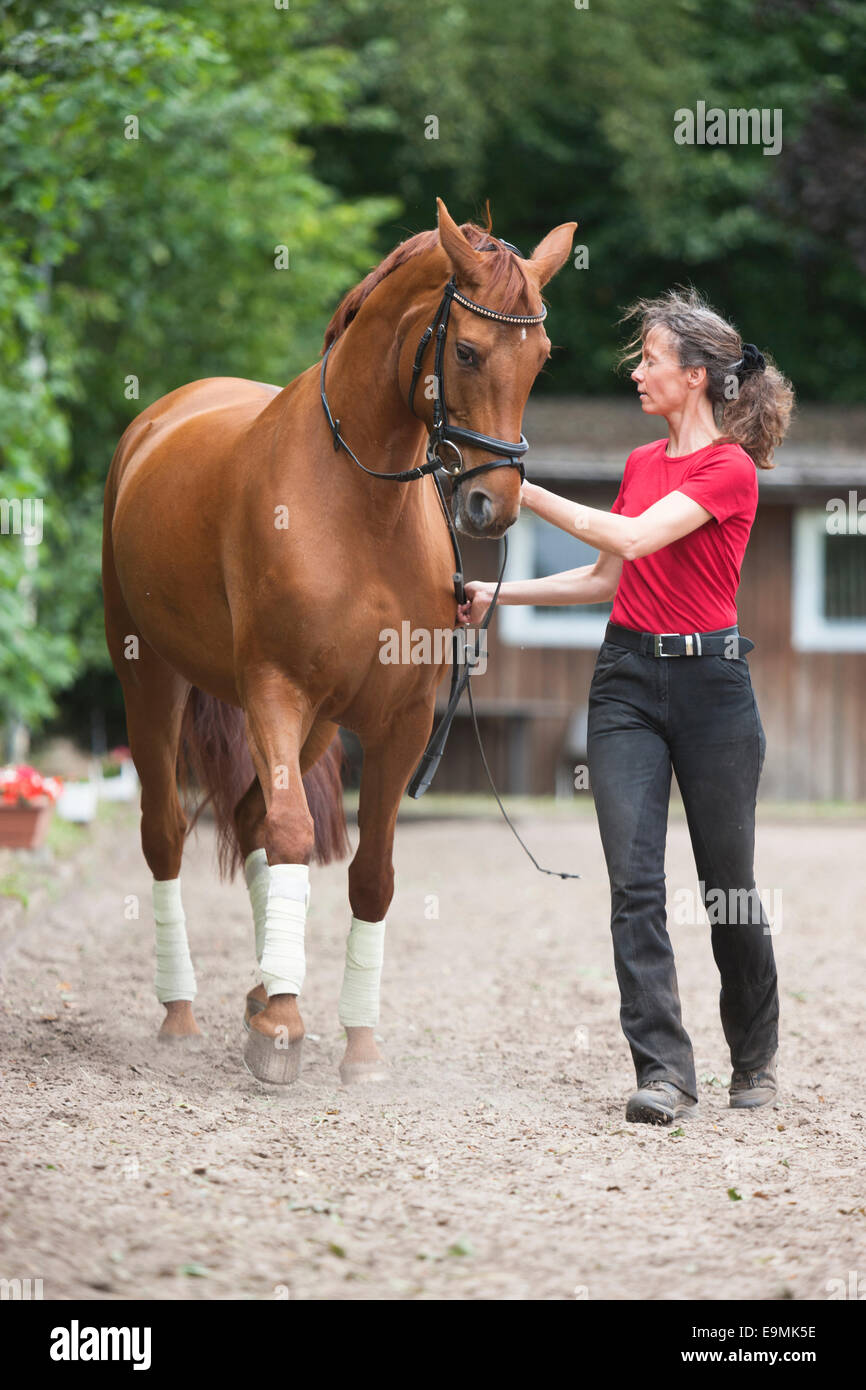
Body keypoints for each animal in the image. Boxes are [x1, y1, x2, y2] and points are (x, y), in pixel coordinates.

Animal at [102, 198, 575, 1085]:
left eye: (541, 359)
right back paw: (184, 1011)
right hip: (152, 679)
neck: (359, 505)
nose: (493, 507)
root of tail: (158, 418)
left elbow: (372, 873)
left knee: (253, 819)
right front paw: (285, 1026)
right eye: (467, 350)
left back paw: (261, 987)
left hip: (318, 723)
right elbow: (292, 834)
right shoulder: (275, 690)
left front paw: (357, 1042)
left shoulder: (400, 720)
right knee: (168, 832)